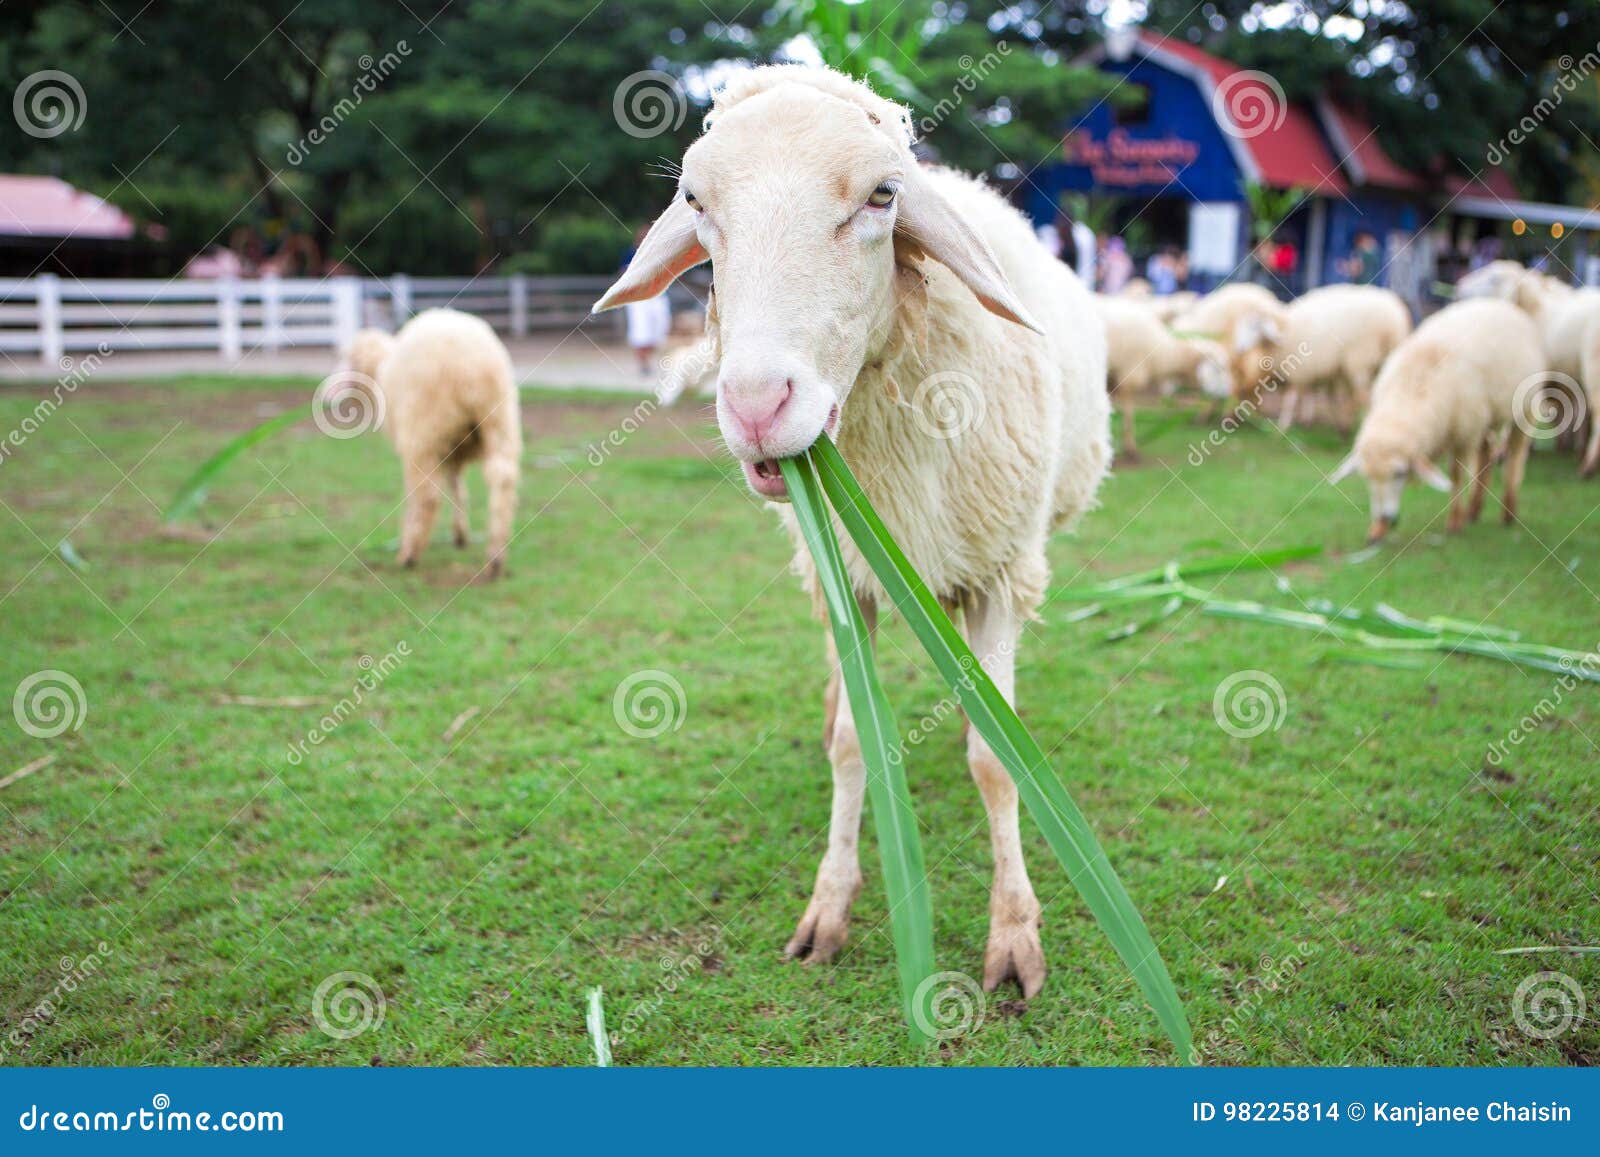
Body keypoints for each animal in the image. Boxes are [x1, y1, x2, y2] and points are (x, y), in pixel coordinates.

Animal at [340, 309, 521, 578]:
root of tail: (473, 368)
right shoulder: (454, 450)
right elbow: (457, 486)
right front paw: (460, 534)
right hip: (500, 423)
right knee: (503, 479)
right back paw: (495, 557)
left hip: (425, 431)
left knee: (427, 496)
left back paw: (409, 553)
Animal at [594, 64, 1110, 998]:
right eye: (695, 200)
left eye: (882, 195)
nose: (756, 407)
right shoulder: (851, 576)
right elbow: (850, 743)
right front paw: (829, 905)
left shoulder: (1000, 571)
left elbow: (994, 760)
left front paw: (1014, 932)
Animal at [1097, 295, 1231, 459]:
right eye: (1220, 368)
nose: (1229, 391)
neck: (1165, 353)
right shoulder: (1129, 375)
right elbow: (1128, 415)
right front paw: (1130, 449)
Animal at [1234, 284, 1412, 432]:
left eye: (1255, 325)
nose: (1239, 348)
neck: (1285, 328)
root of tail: (1394, 316)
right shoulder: (1314, 368)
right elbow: (1313, 393)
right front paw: (1308, 419)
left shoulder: (1300, 370)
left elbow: (1291, 398)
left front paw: (1284, 424)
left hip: (1359, 358)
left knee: (1363, 395)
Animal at [1330, 298, 1543, 542]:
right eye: (1367, 477)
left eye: (1399, 473)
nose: (1385, 517)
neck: (1412, 387)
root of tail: (1499, 303)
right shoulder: (1464, 427)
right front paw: (1377, 530)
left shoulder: (1462, 433)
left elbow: (1456, 475)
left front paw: (1455, 522)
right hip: (1482, 419)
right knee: (1485, 454)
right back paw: (1474, 510)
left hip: (1523, 411)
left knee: (1515, 457)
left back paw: (1508, 512)